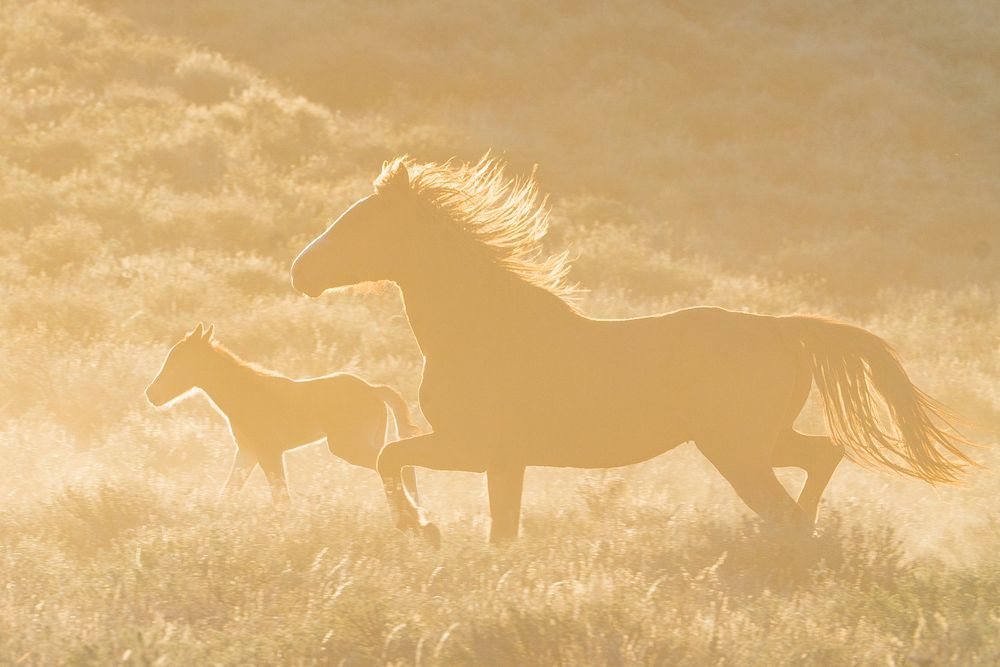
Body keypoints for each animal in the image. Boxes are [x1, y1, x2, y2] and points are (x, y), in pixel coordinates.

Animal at [145, 324, 418, 500]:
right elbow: (228, 493)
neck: (246, 394)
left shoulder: (269, 453)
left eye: (179, 361)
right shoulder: (247, 453)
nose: (151, 394)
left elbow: (280, 499)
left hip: (348, 446)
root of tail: (373, 390)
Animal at [290, 157, 976, 544]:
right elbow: (500, 533)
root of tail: (783, 330)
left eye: (361, 222)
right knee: (823, 456)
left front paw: (421, 527)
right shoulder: (503, 461)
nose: (301, 272)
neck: (482, 331)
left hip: (737, 451)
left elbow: (390, 457)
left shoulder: (473, 448)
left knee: (789, 498)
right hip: (759, 442)